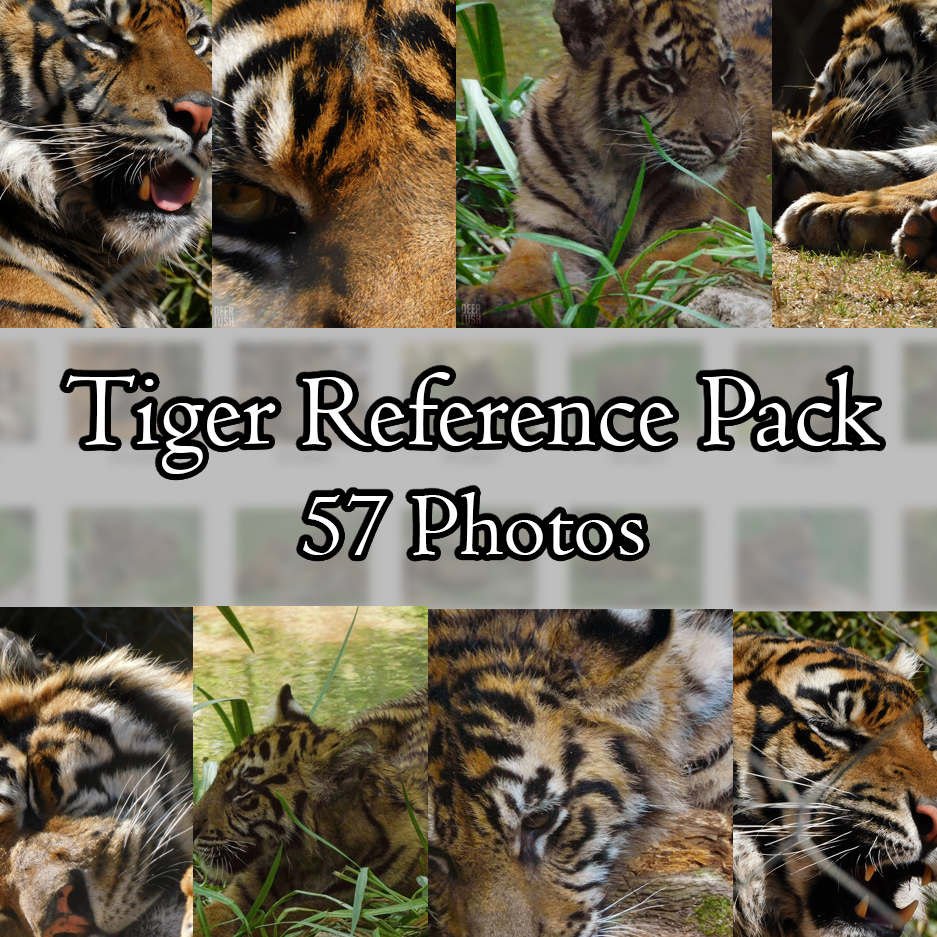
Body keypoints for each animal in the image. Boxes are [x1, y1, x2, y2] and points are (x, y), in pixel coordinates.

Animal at [193, 684, 428, 937]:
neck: (304, 869)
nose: (189, 828)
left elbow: (282, 918)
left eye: (244, 788)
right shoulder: (238, 897)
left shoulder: (363, 901)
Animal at [456, 0, 772, 327]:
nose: (726, 141)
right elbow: (524, 269)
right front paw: (495, 301)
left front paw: (594, 312)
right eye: (665, 76)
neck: (608, 162)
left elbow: (636, 276)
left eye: (724, 70)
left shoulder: (699, 232)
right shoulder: (548, 226)